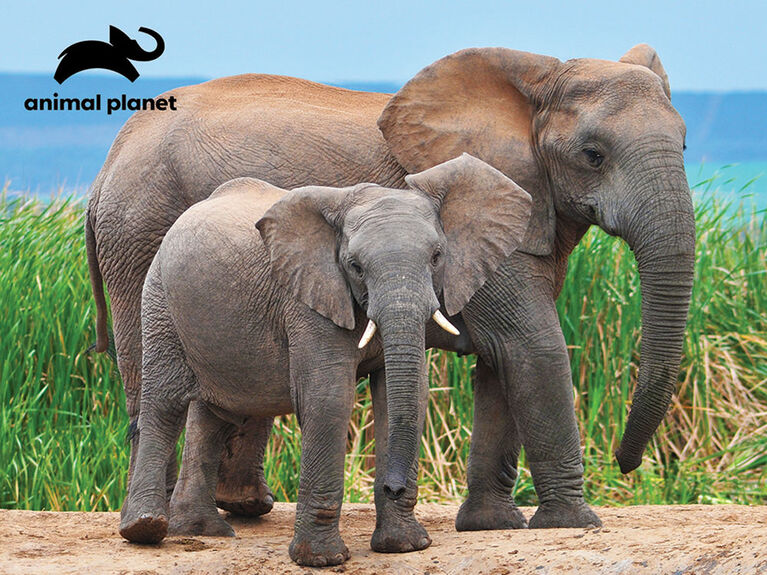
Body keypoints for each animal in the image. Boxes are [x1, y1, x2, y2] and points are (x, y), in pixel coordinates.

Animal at [118, 155, 533, 567]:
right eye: (355, 266)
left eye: (436, 257)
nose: (393, 486)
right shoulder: (307, 298)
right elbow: (328, 398)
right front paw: (321, 559)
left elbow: (401, 396)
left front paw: (404, 546)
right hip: (158, 297)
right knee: (165, 403)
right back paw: (146, 529)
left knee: (215, 414)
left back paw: (202, 531)